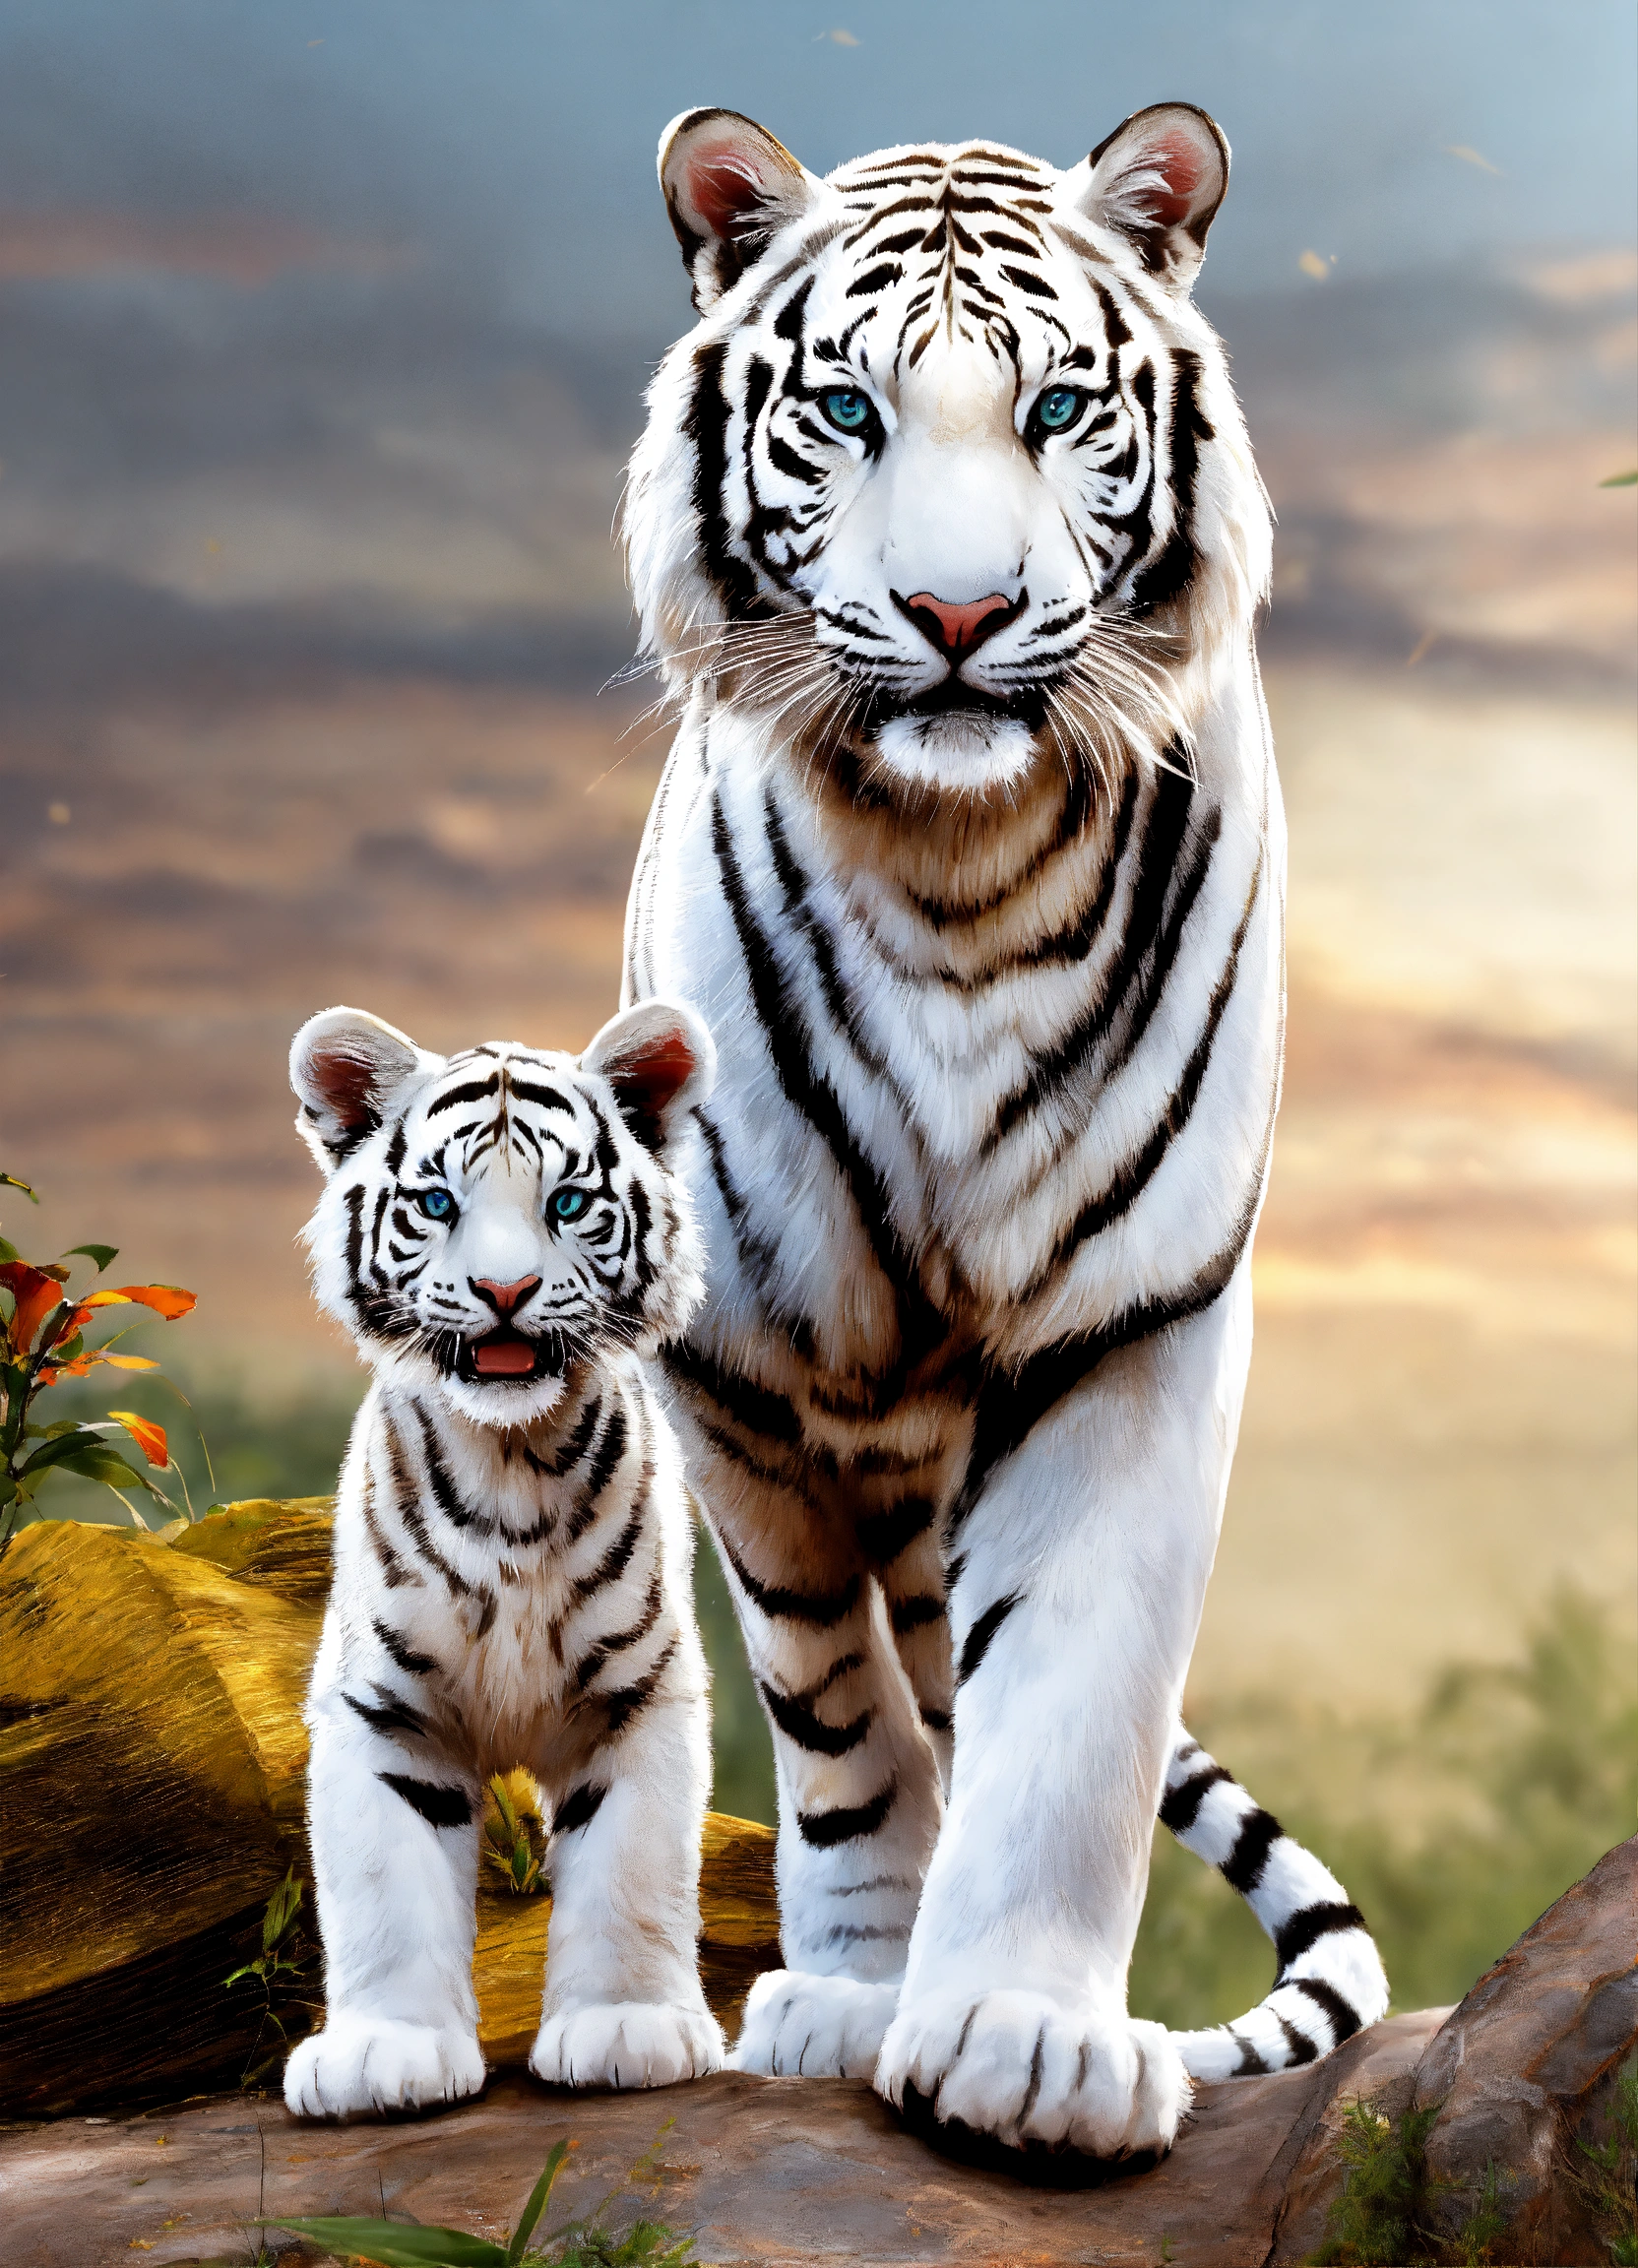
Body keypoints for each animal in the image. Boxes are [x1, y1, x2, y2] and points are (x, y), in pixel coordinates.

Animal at [281, 997, 726, 2116]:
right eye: (436, 1202)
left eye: (568, 1203)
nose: (505, 1288)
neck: (511, 1459)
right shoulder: (384, 1708)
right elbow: (384, 1889)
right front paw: (381, 2057)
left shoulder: (639, 1692)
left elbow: (633, 1869)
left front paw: (629, 2032)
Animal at [619, 101, 1389, 2161]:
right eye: (846, 412)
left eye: (1054, 407)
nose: (957, 618)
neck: (954, 856)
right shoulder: (735, 1366)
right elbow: (833, 1707)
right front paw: (858, 1985)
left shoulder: (1129, 1313)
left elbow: (1064, 1691)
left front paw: (1019, 2040)